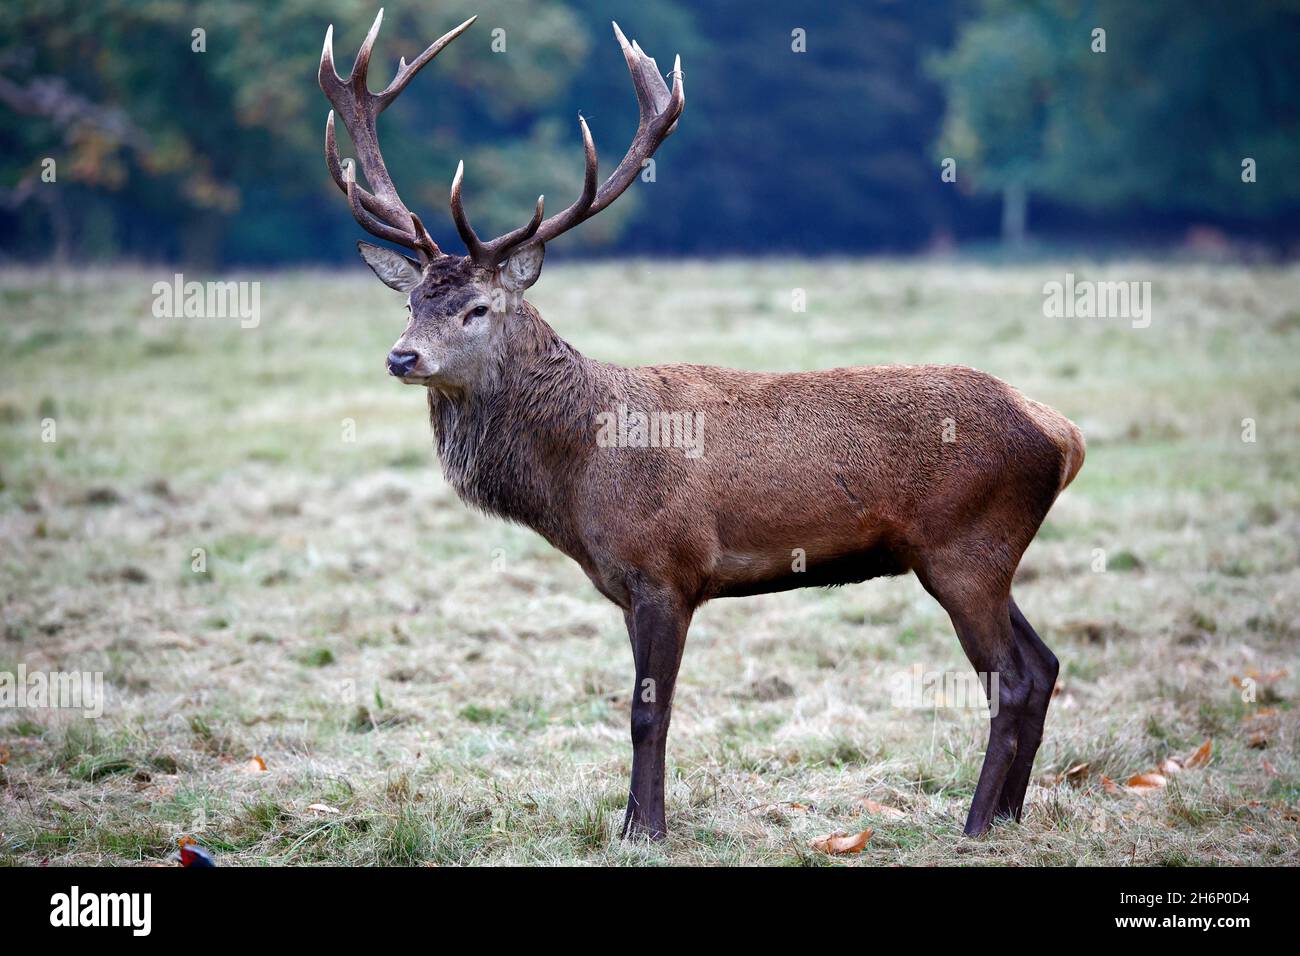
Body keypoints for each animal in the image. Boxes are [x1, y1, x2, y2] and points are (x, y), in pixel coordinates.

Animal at [319, 9, 1085, 841]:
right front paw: (632, 824)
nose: (401, 356)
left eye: (477, 308)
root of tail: (1064, 435)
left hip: (965, 547)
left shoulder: (668, 567)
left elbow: (647, 714)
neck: (579, 477)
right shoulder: (627, 586)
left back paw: (975, 823)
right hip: (979, 554)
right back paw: (1009, 815)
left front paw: (644, 831)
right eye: (410, 302)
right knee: (1045, 664)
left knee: (1012, 679)